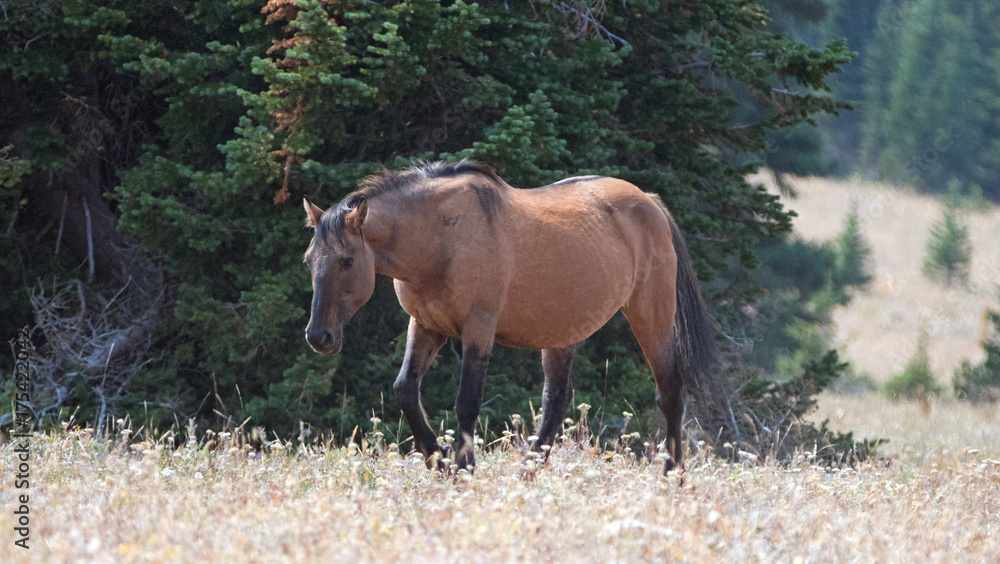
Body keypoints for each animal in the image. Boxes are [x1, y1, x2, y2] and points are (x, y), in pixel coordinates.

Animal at [302, 160, 721, 475]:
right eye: (308, 261)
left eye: (347, 261)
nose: (319, 337)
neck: (440, 238)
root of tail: (649, 203)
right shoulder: (426, 326)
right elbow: (405, 389)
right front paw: (439, 461)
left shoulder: (478, 331)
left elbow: (467, 403)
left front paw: (463, 470)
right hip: (563, 332)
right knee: (556, 401)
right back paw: (528, 472)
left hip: (651, 317)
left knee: (670, 392)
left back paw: (672, 477)